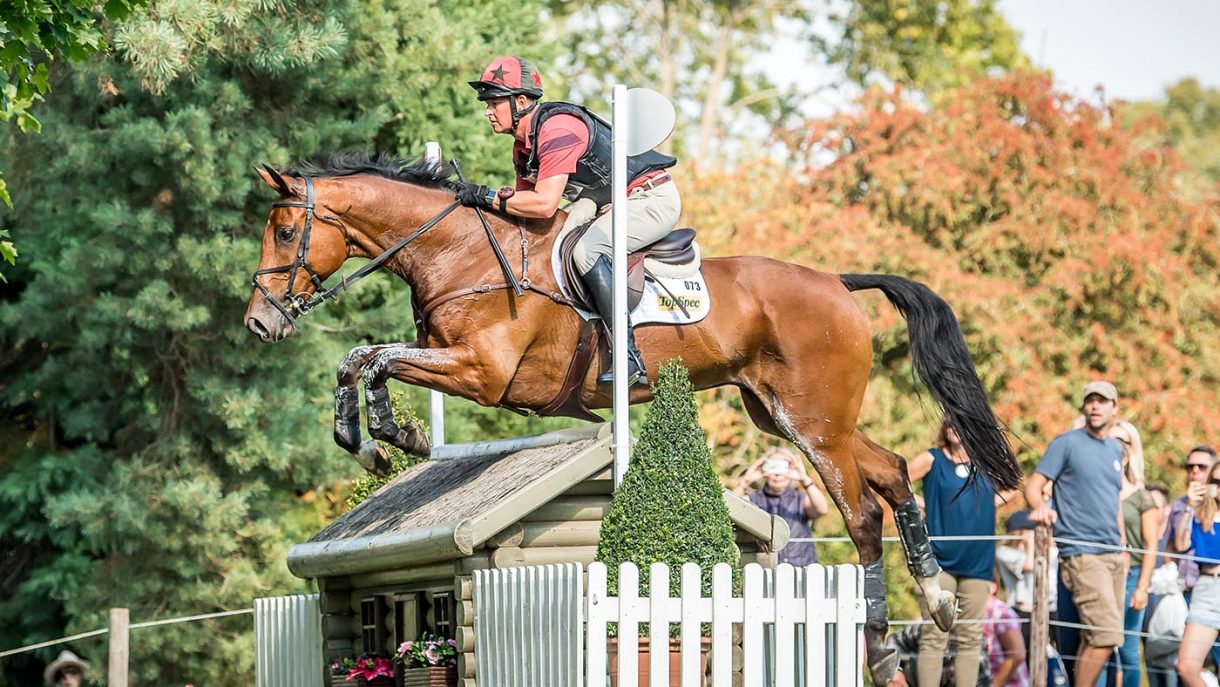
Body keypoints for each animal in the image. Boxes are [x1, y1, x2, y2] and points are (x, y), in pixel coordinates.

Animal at [243, 152, 1022, 683]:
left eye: (283, 231)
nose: (259, 323)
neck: (460, 253)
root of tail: (836, 280)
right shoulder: (457, 364)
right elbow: (360, 357)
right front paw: (374, 438)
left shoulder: (483, 373)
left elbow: (375, 359)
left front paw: (385, 434)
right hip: (785, 414)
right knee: (891, 472)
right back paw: (938, 597)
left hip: (814, 423)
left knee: (861, 514)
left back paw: (882, 646)